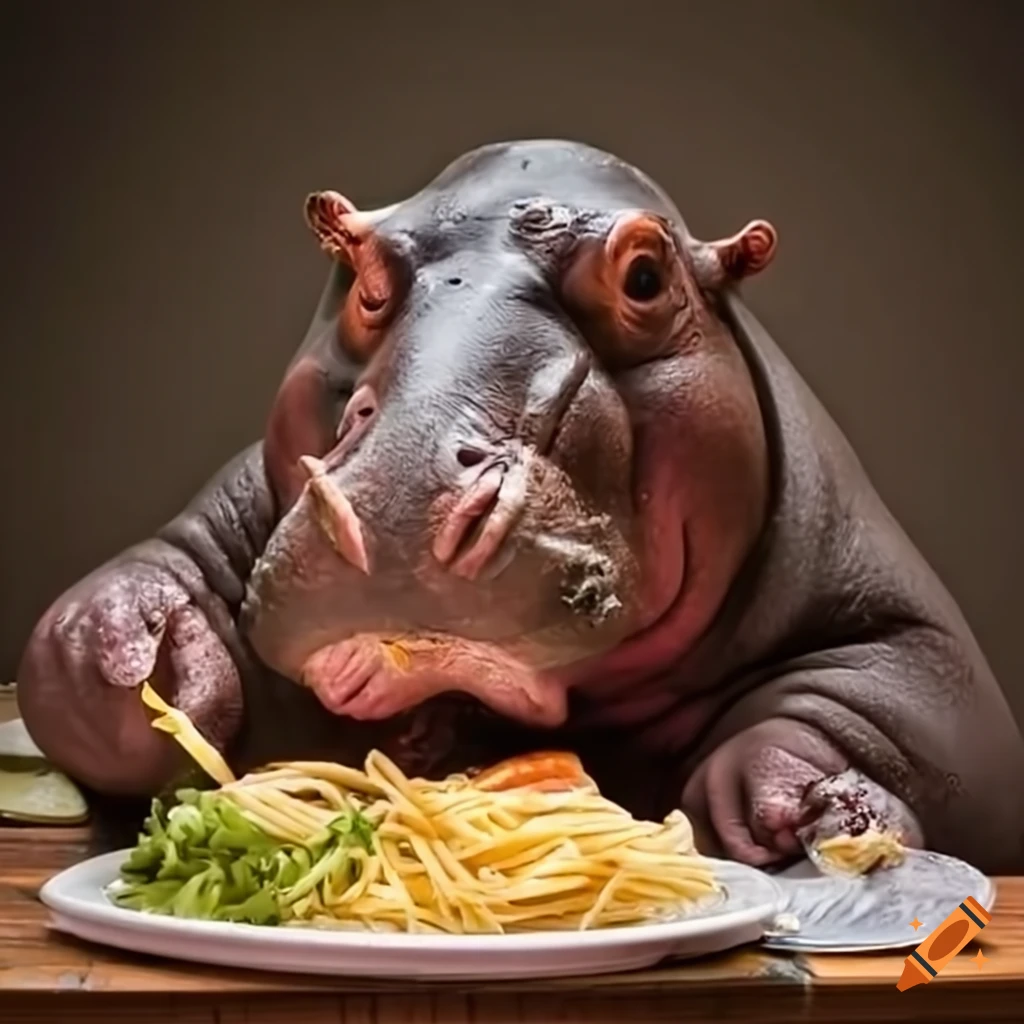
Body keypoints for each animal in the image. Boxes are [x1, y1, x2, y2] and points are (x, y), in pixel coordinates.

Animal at [17, 140, 1024, 874]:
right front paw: (143, 651)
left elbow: (886, 699)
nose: (399, 499)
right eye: (365, 280)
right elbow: (96, 631)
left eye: (646, 278)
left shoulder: (907, 635)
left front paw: (811, 807)